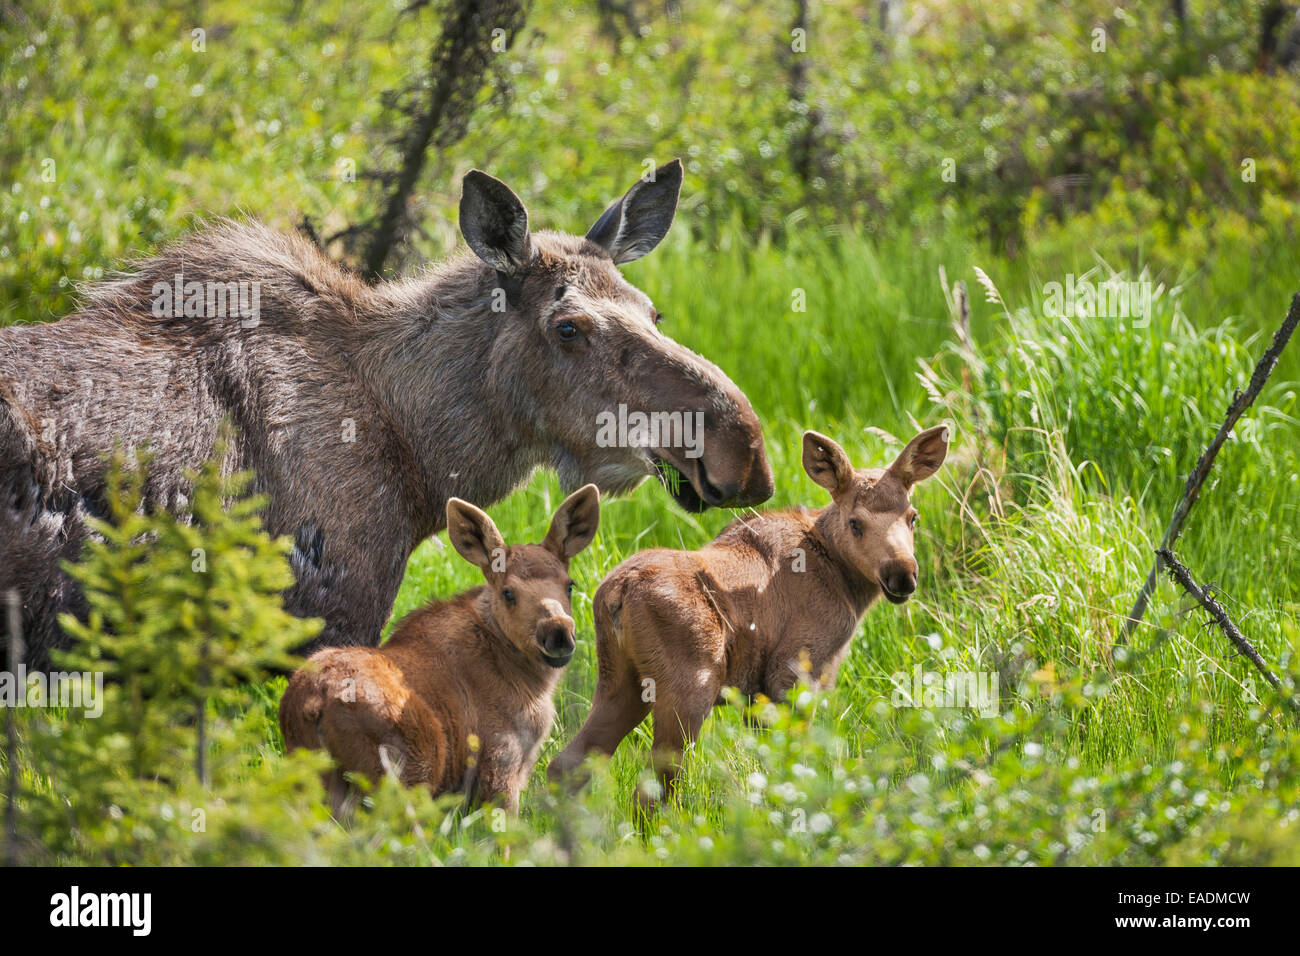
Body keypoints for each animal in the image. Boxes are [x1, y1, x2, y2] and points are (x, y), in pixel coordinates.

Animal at [280, 484, 600, 815]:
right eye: (508, 592)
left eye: (569, 585)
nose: (558, 632)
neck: (531, 682)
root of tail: (313, 704)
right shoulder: (501, 763)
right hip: (403, 774)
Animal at [548, 425, 950, 808]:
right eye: (855, 523)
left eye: (913, 517)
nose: (901, 574)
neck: (845, 582)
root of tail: (617, 594)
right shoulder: (794, 672)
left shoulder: (758, 695)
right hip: (689, 688)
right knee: (653, 788)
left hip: (619, 682)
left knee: (568, 764)